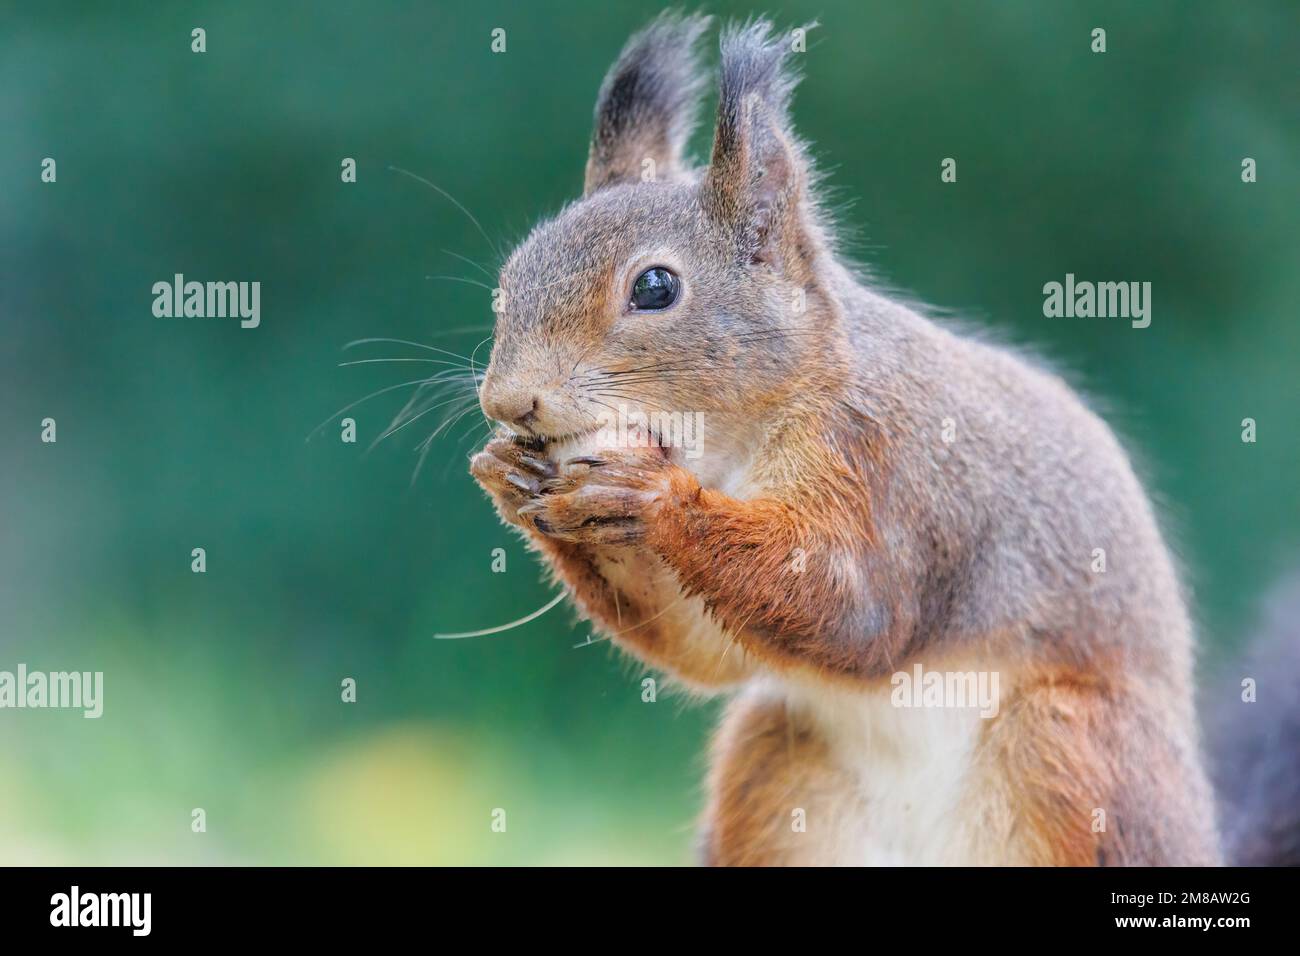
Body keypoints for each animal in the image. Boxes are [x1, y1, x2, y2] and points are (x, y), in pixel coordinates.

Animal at [469, 13, 1227, 865]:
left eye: (655, 287)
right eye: (511, 276)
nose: (509, 400)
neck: (738, 442)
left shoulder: (885, 464)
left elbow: (854, 607)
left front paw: (653, 495)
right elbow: (703, 650)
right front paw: (506, 474)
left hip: (1073, 746)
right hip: (777, 766)